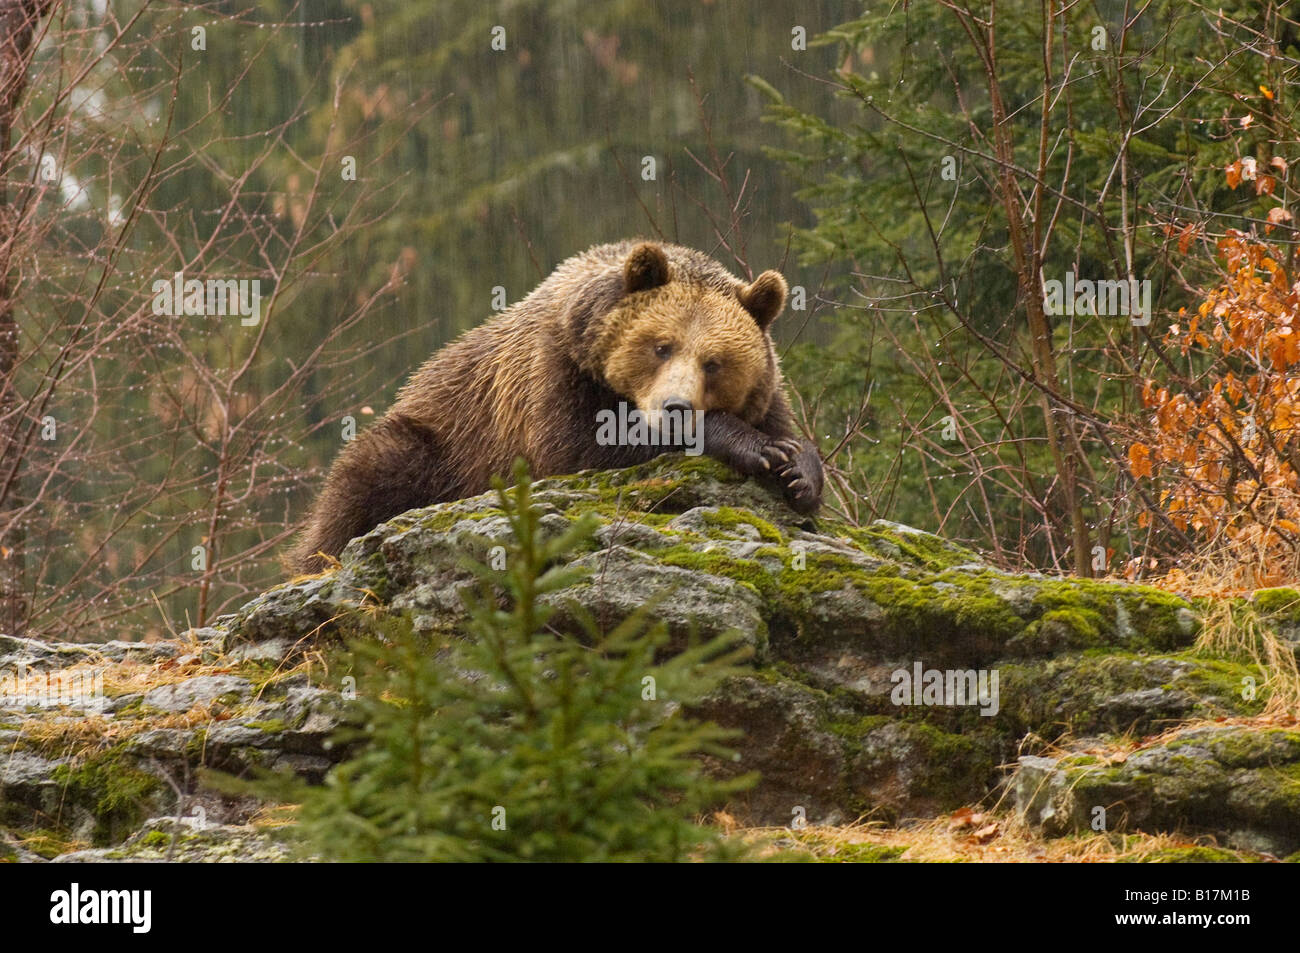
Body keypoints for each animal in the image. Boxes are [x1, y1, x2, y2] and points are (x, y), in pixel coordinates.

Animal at [287, 239, 823, 574]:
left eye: (714, 362)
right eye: (661, 346)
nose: (675, 408)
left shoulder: (766, 392)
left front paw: (798, 468)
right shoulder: (555, 375)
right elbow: (579, 454)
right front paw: (753, 446)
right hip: (443, 441)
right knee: (367, 478)